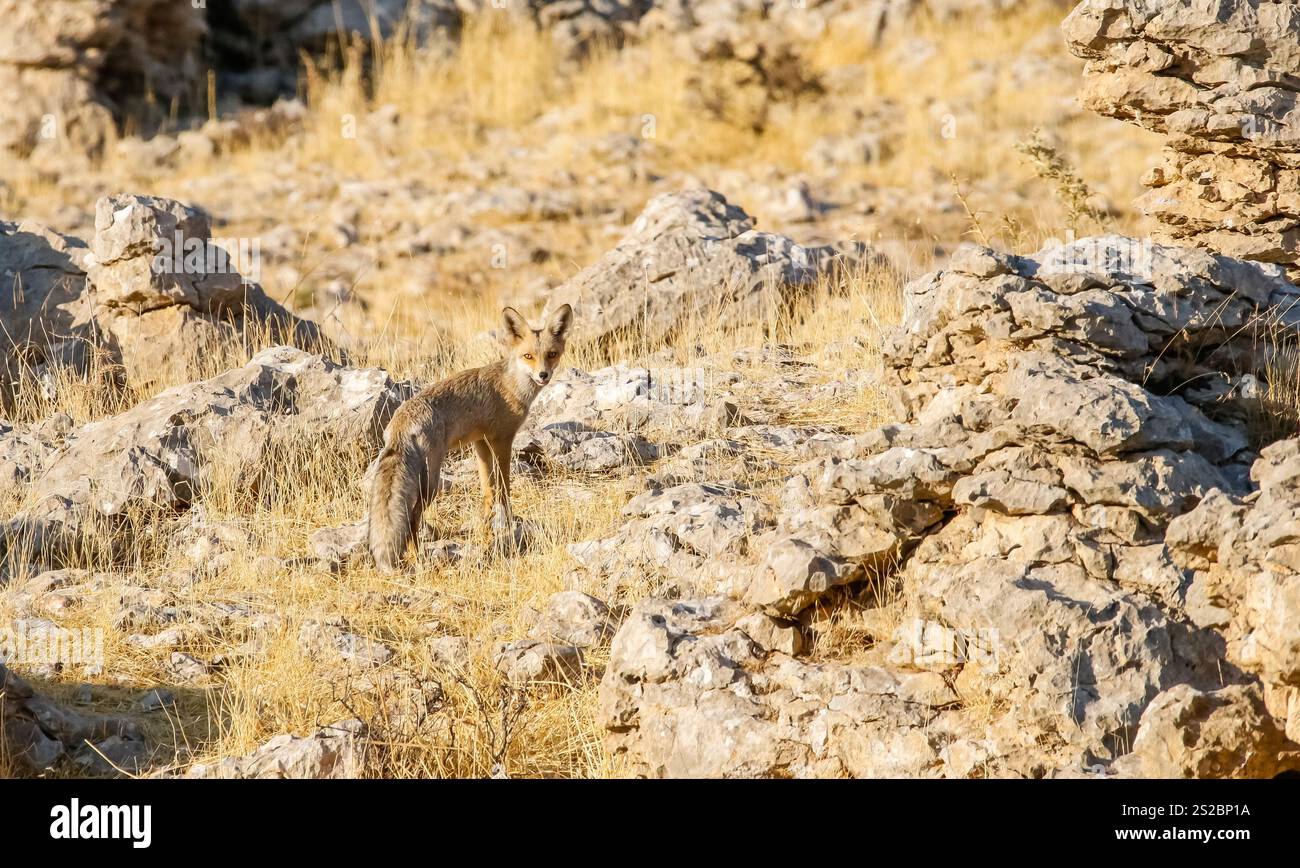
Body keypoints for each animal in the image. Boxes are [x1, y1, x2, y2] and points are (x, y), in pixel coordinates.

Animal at [367, 304, 574, 573]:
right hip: (432, 482)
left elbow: (488, 491)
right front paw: (509, 523)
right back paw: (418, 556)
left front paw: (486, 527)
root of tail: (400, 421)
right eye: (528, 356)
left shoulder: (481, 442)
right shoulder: (502, 439)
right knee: (412, 517)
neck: (511, 384)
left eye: (551, 354)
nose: (543, 375)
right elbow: (504, 488)